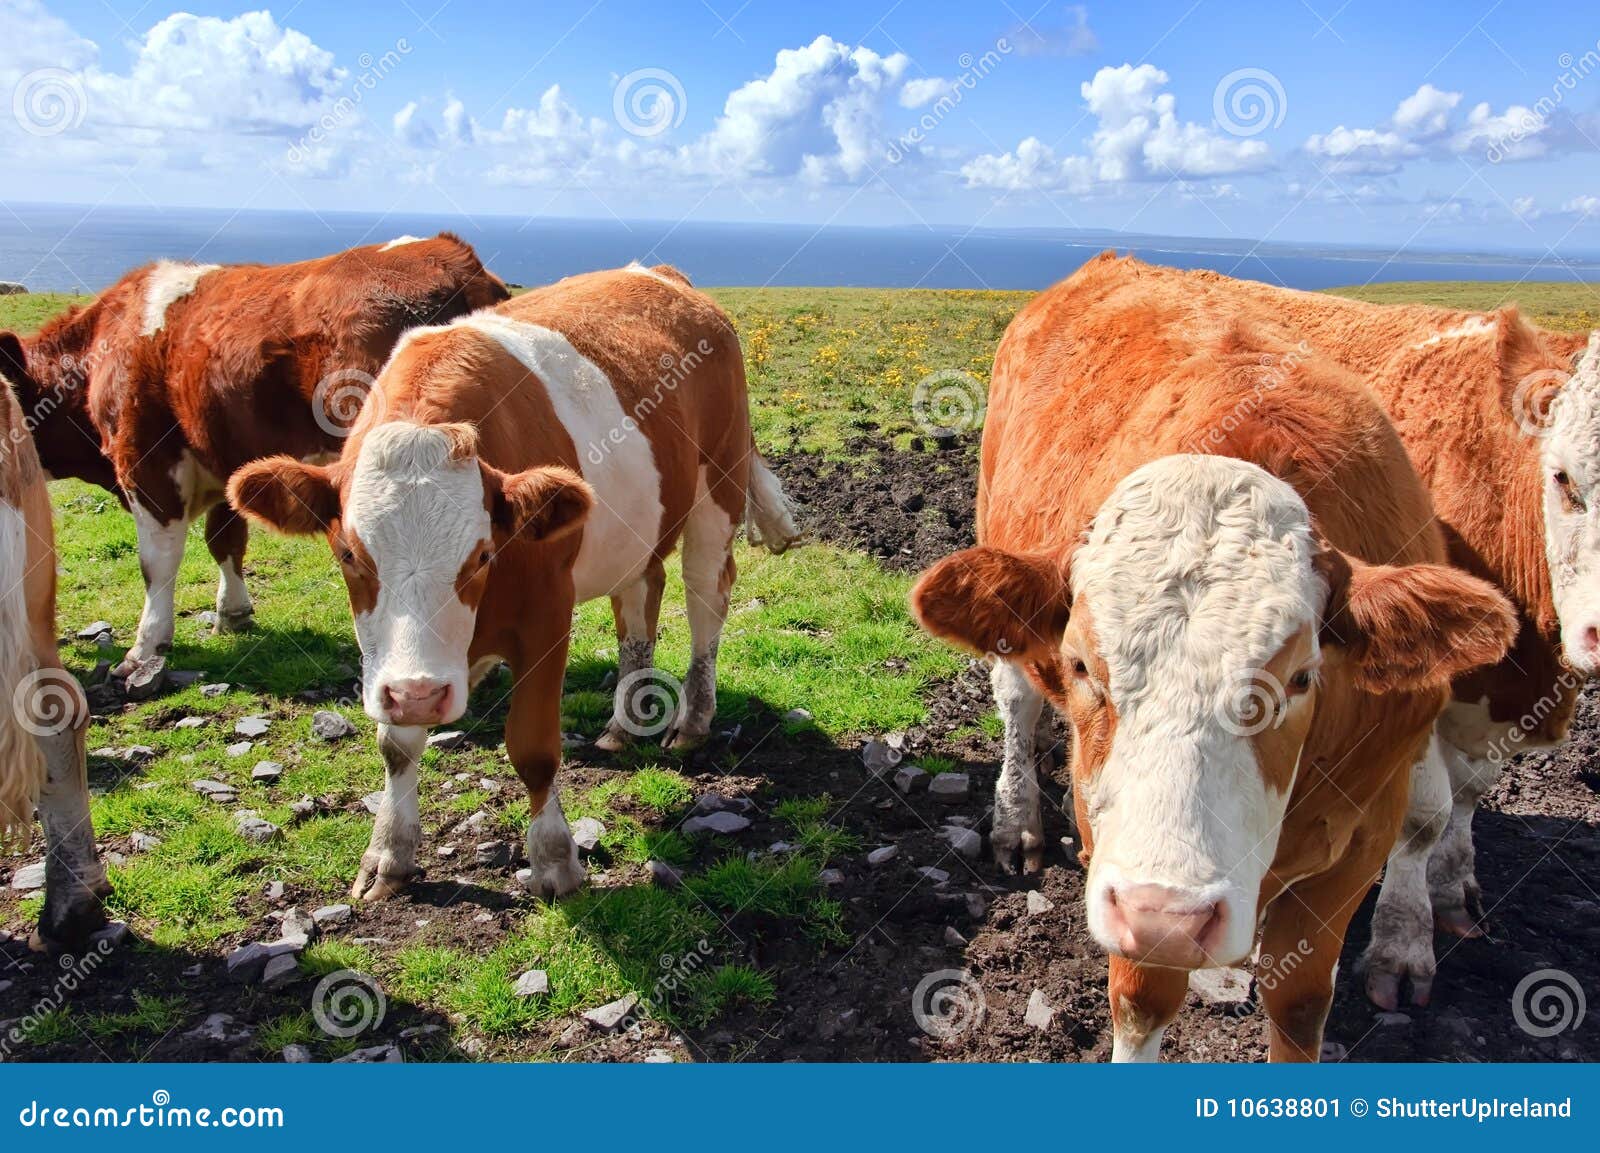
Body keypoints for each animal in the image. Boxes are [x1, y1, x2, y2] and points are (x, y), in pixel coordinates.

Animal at [0, 234, 508, 685]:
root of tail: (455, 257)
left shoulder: (145, 464)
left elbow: (157, 563)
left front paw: (145, 649)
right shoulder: (228, 459)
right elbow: (225, 539)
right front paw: (234, 612)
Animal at [226, 263, 799, 901]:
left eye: (481, 556)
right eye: (349, 554)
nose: (420, 695)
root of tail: (662, 277)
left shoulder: (548, 613)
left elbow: (533, 747)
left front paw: (554, 861)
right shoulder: (397, 664)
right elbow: (396, 746)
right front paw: (388, 853)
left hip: (718, 486)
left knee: (705, 598)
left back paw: (693, 719)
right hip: (638, 525)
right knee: (639, 597)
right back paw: (624, 723)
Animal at [911, 252, 1517, 1060]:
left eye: (1300, 677)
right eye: (1082, 666)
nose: (1169, 915)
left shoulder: (1361, 837)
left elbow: (1300, 1004)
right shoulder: (1123, 869)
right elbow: (1142, 1000)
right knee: (1015, 701)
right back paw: (1020, 821)